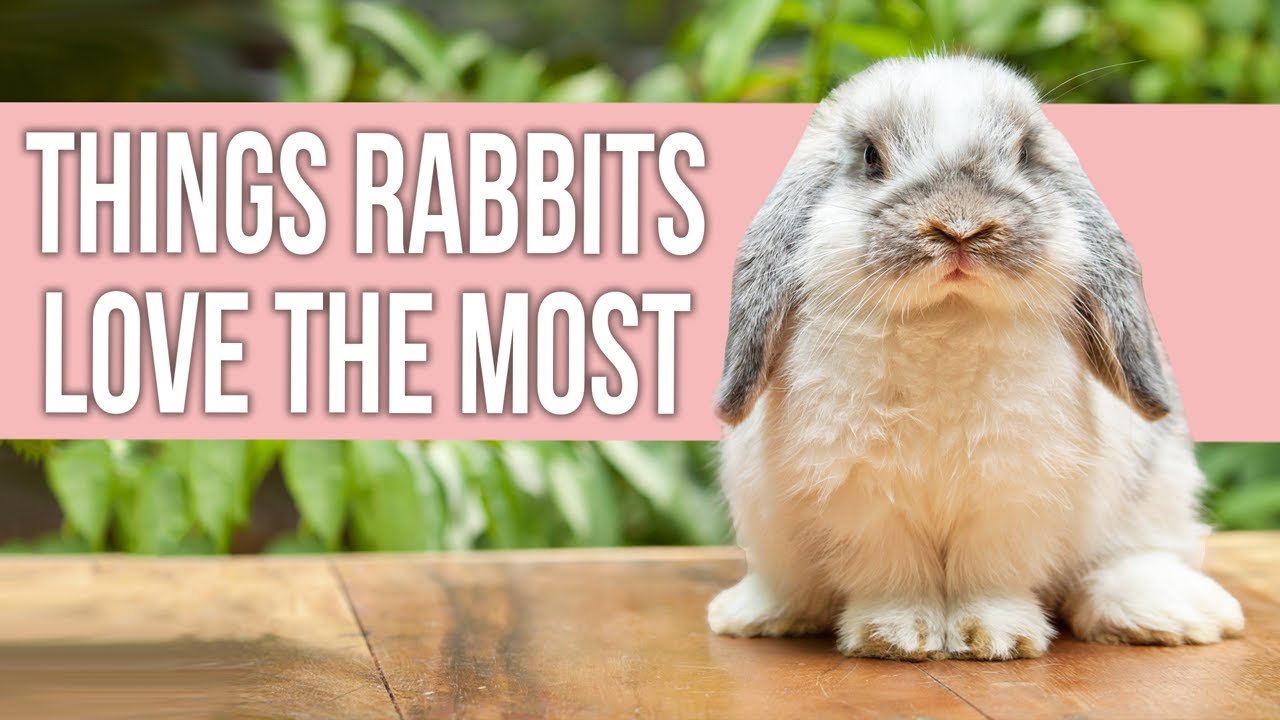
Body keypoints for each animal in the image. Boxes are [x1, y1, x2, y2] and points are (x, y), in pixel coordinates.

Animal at [706, 55, 1244, 661]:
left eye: (1025, 154)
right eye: (870, 157)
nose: (960, 226)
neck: (946, 318)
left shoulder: (1012, 493)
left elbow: (989, 574)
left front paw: (995, 637)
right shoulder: (864, 499)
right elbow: (892, 573)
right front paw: (895, 636)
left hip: (1156, 494)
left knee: (1130, 561)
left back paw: (1170, 614)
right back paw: (757, 613)